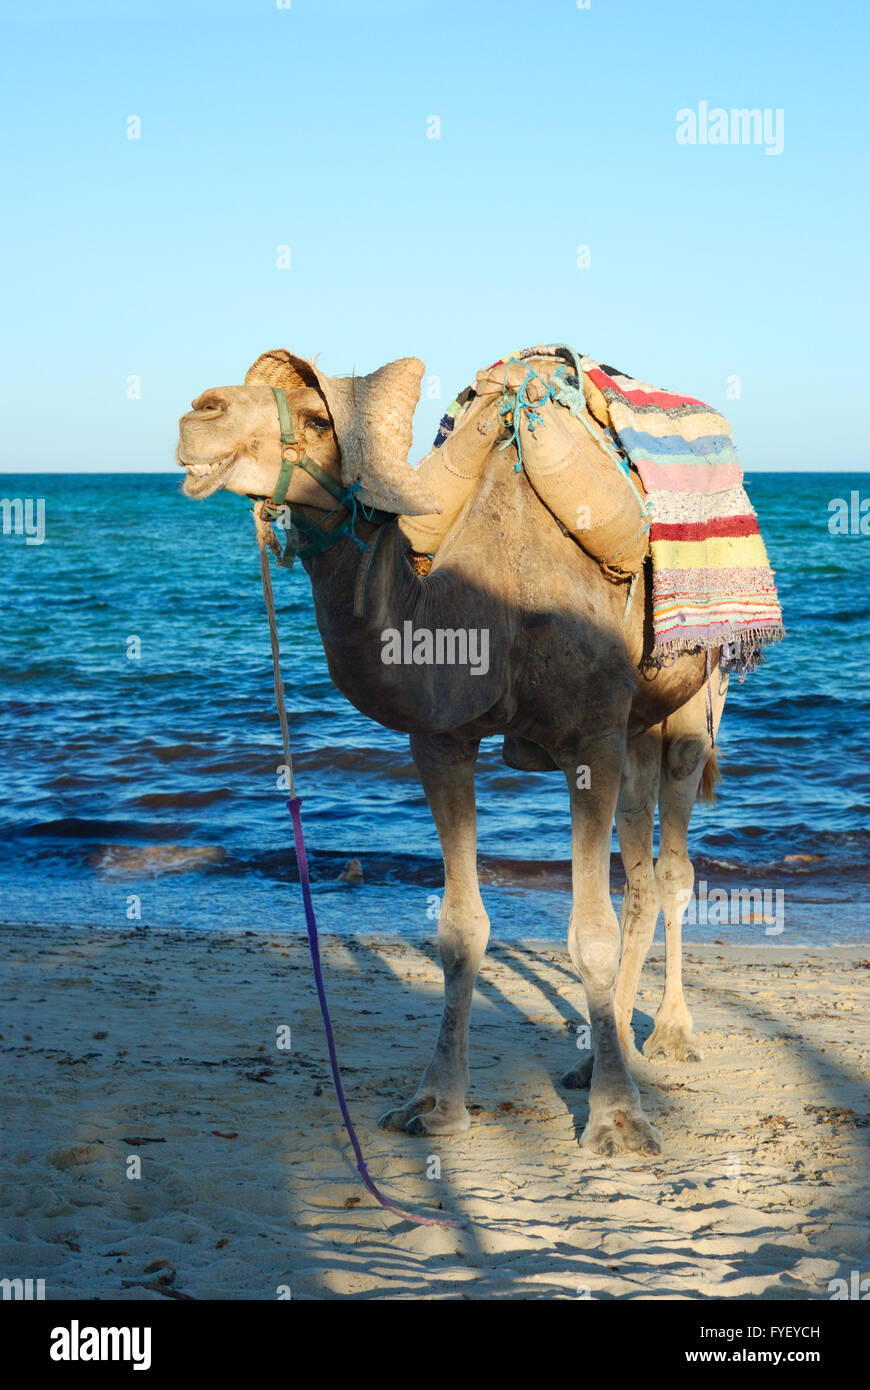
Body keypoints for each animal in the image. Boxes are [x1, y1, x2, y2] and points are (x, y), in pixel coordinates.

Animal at [176, 348, 729, 1156]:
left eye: (318, 420)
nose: (201, 412)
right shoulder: (442, 738)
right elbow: (460, 929)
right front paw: (434, 1104)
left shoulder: (590, 735)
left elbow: (588, 932)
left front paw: (620, 1122)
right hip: (636, 729)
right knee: (641, 874)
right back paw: (603, 1054)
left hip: (694, 697)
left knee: (673, 865)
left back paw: (670, 1038)